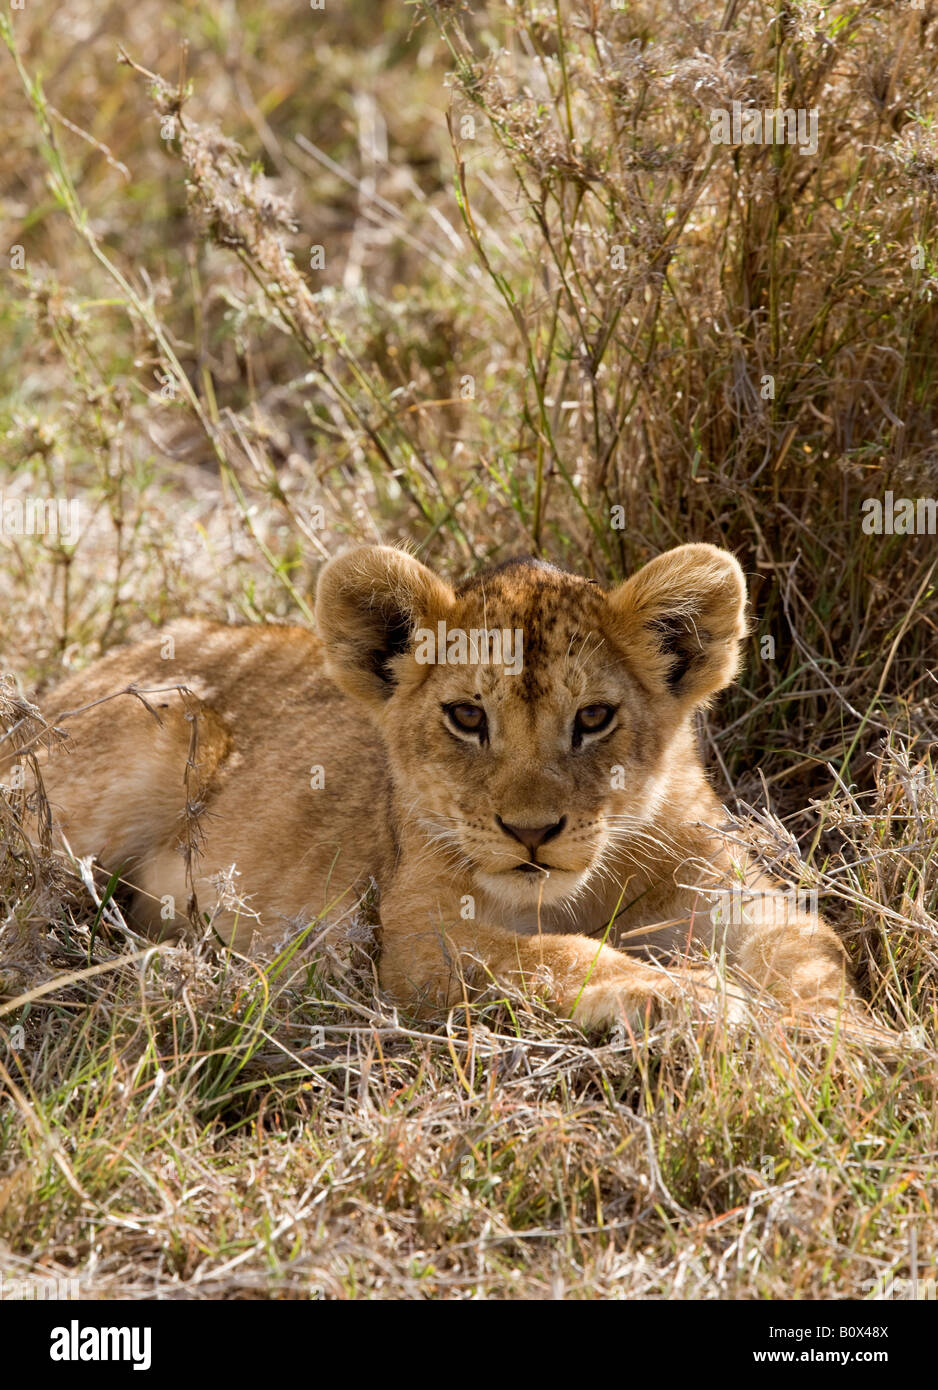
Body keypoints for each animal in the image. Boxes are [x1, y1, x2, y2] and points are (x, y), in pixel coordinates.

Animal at [13, 543, 872, 1036]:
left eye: (594, 718)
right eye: (467, 716)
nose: (532, 832)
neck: (583, 886)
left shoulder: (739, 896)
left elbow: (814, 957)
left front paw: (845, 1044)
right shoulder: (416, 938)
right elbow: (556, 956)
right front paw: (701, 1002)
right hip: (150, 735)